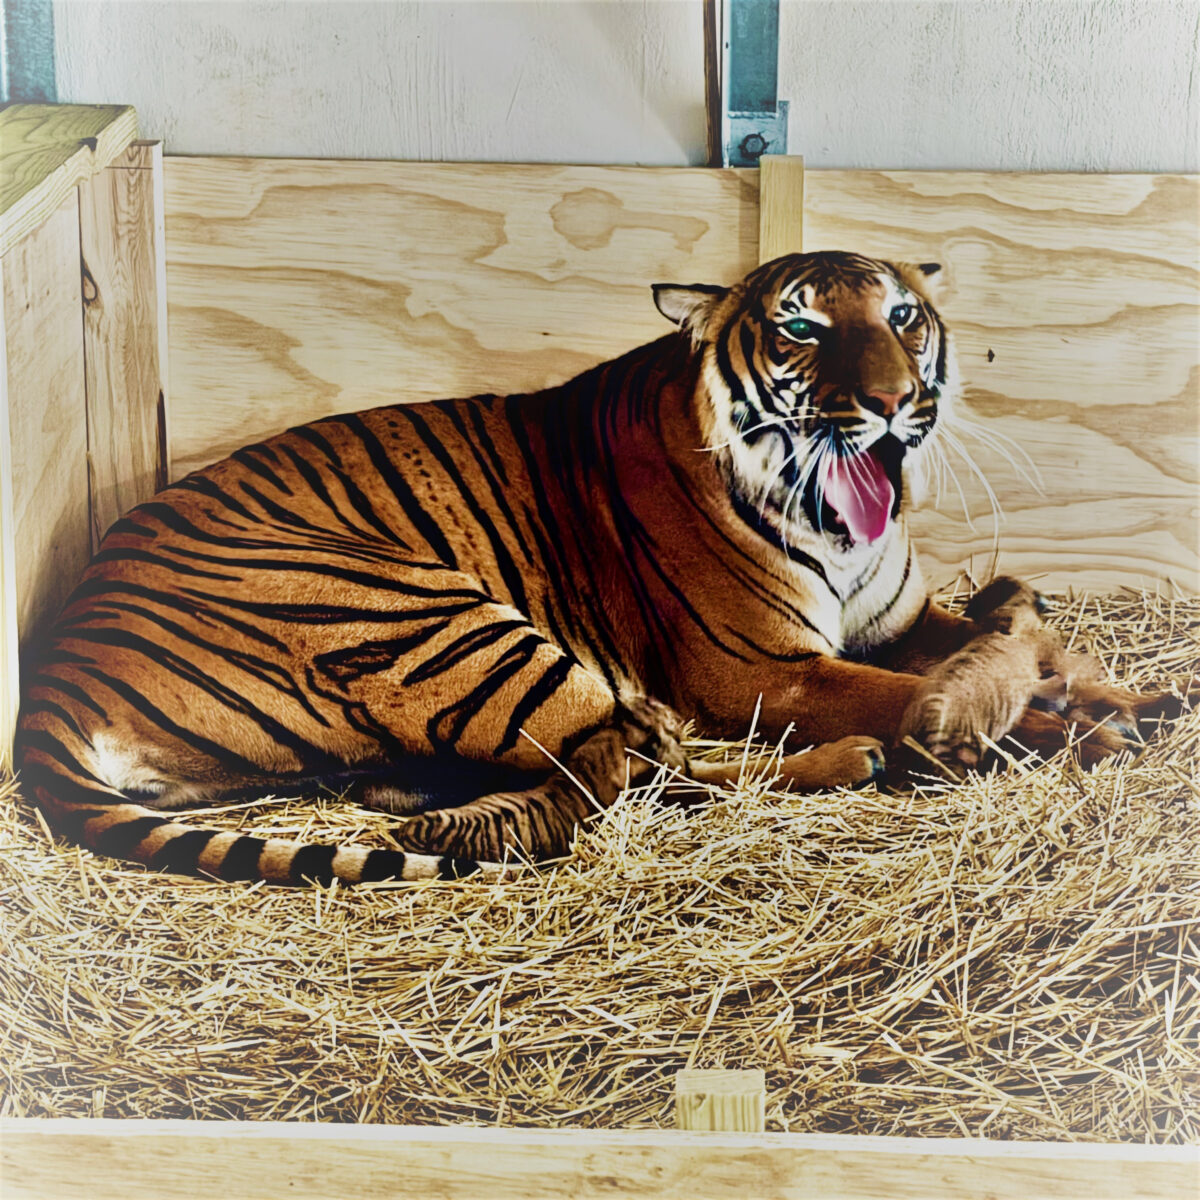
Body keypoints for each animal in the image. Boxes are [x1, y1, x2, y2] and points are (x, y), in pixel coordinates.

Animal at [15, 250, 1183, 887]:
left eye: (901, 317)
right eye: (803, 328)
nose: (899, 401)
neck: (839, 519)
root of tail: (57, 671)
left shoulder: (897, 620)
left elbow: (1018, 634)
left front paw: (1125, 695)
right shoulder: (765, 671)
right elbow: (908, 690)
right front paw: (1041, 728)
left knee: (616, 766)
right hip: (431, 616)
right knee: (629, 773)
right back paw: (857, 762)